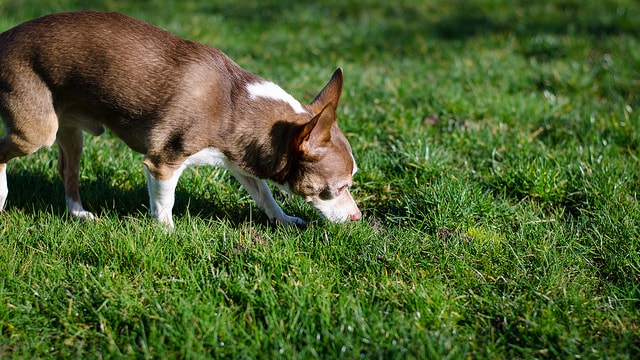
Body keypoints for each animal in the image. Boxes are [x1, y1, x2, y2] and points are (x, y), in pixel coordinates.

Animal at [0, 11, 360, 228]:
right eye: (338, 188)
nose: (357, 217)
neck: (235, 103)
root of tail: (4, 37)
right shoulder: (163, 162)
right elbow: (164, 202)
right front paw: (167, 233)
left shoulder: (240, 161)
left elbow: (264, 195)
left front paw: (283, 220)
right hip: (36, 130)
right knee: (4, 153)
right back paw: (2, 195)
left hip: (69, 130)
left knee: (67, 169)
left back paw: (78, 212)